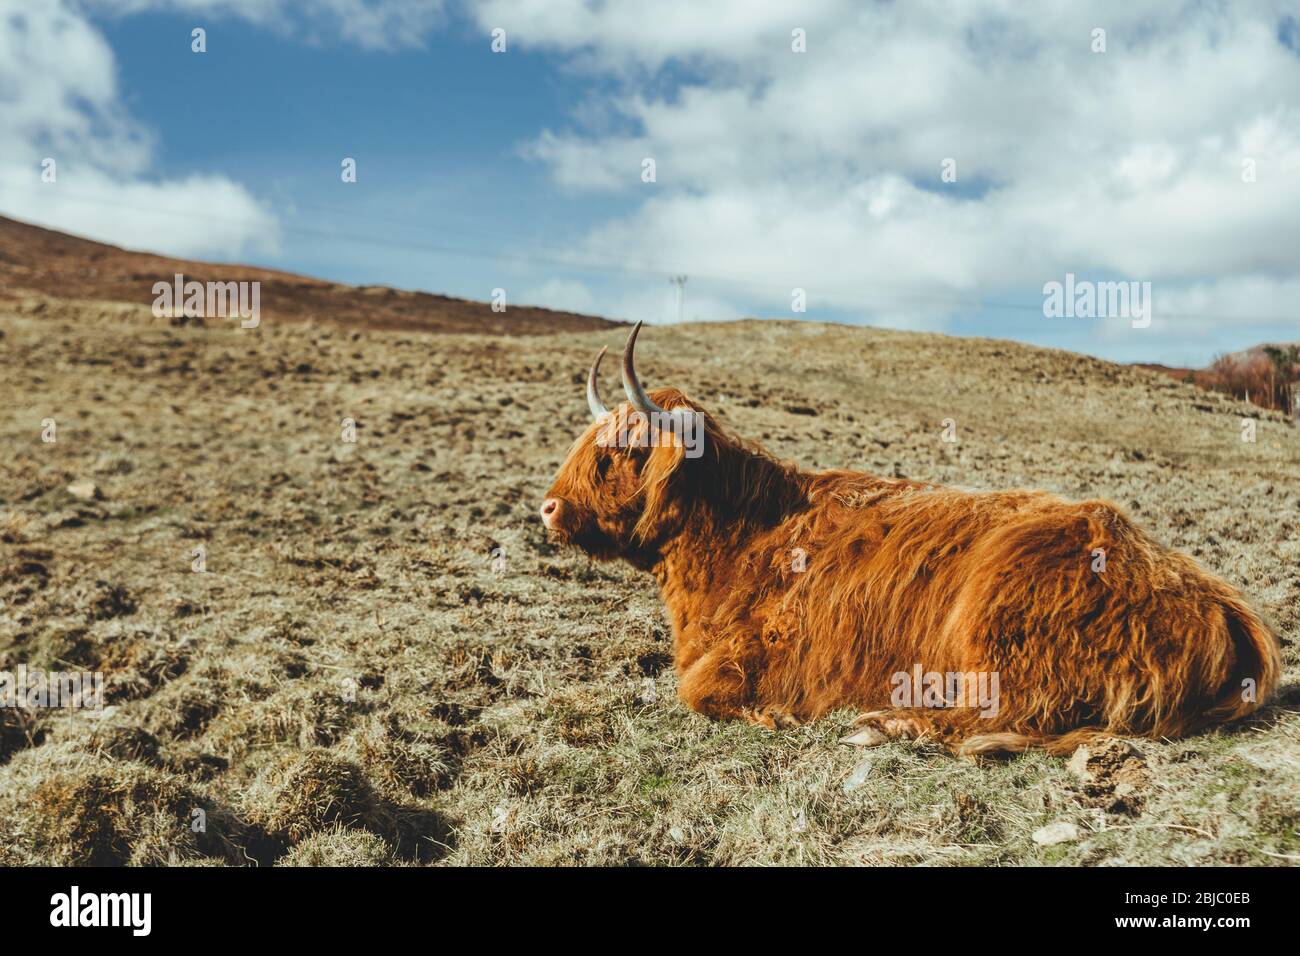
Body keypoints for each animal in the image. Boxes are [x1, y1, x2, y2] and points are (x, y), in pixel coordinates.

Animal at [540, 322, 1281, 756]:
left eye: (620, 451)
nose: (548, 509)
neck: (738, 539)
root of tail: (1214, 600)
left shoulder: (775, 650)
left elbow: (697, 691)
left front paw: (776, 717)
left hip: (997, 634)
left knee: (998, 718)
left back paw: (886, 724)